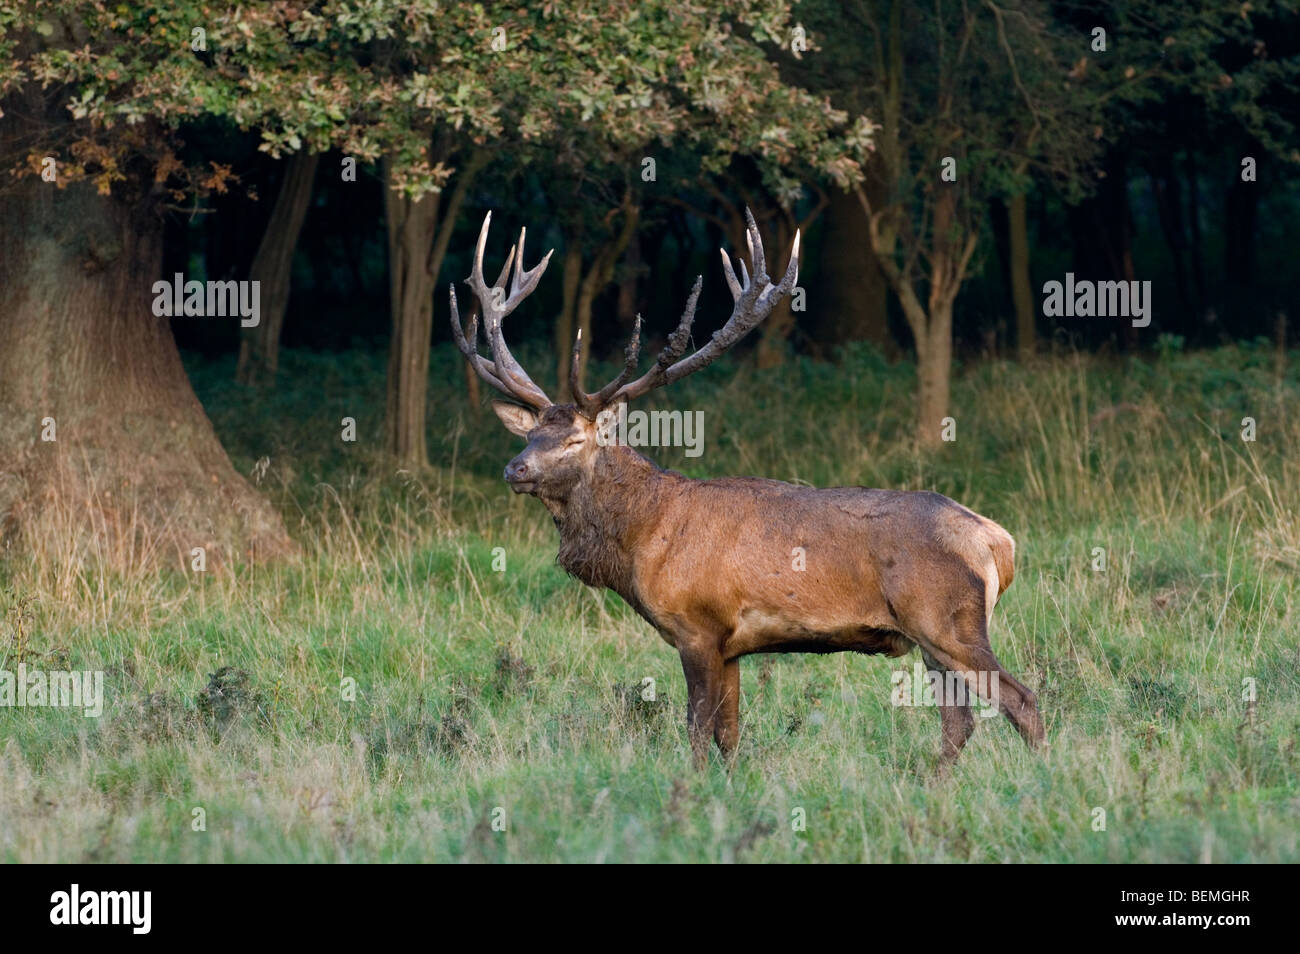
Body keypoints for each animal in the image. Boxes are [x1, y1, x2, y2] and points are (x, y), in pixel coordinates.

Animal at [450, 209, 1045, 769]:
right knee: (959, 722)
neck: (643, 538)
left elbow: (696, 729)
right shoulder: (733, 645)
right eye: (530, 434)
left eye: (575, 439)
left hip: (947, 621)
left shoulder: (697, 626)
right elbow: (730, 735)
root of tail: (999, 542)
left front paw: (689, 788)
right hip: (931, 640)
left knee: (1022, 701)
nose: (515, 469)